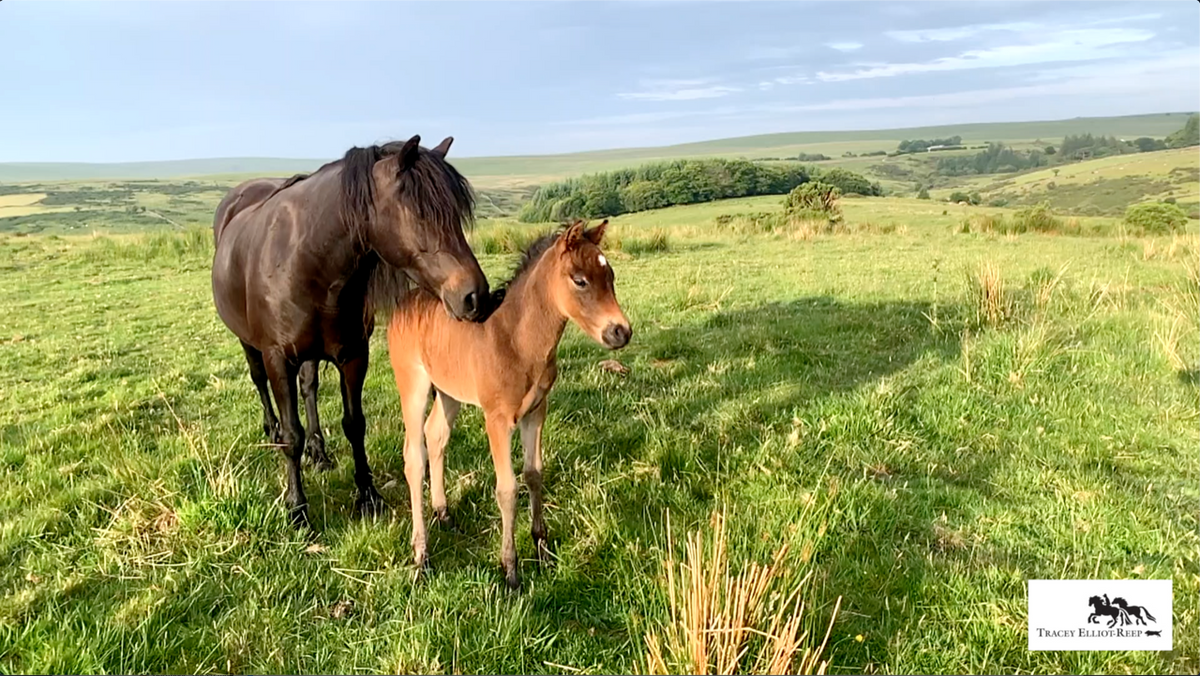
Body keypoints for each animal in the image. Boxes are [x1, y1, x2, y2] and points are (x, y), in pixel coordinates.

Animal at [211, 135, 492, 529]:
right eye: (422, 213)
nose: (475, 296)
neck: (306, 259)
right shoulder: (278, 358)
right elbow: (292, 436)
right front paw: (297, 510)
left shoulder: (354, 355)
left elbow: (354, 424)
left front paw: (368, 496)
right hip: (250, 344)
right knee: (260, 383)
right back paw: (273, 432)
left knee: (309, 387)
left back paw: (319, 451)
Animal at [385, 218, 631, 590]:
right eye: (580, 280)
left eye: (611, 275)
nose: (621, 332)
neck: (516, 340)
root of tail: (403, 302)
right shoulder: (497, 420)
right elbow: (507, 488)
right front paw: (511, 569)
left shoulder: (537, 411)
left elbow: (534, 474)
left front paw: (542, 548)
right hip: (412, 385)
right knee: (414, 457)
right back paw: (422, 555)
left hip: (449, 391)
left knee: (437, 435)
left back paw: (443, 513)